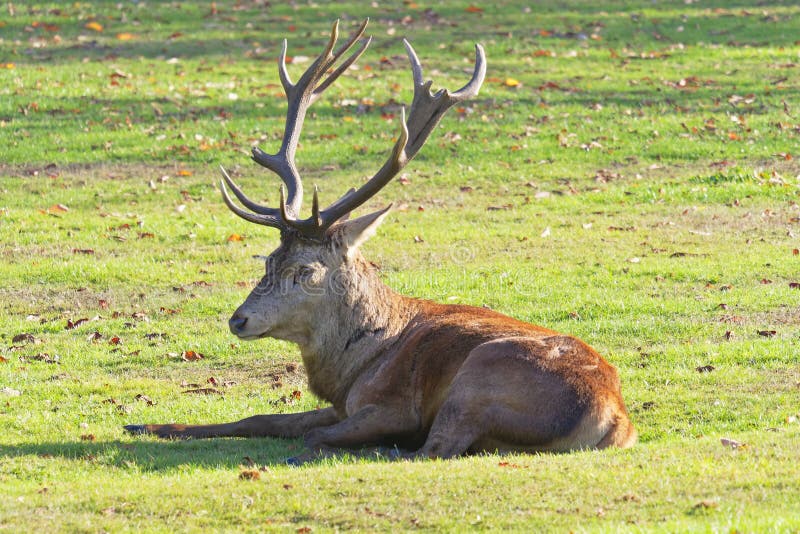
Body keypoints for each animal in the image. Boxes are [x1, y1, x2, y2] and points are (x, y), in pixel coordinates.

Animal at [125, 20, 636, 461]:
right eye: (268, 259)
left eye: (305, 270)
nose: (239, 320)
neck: (354, 367)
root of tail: (614, 419)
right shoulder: (339, 403)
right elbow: (257, 418)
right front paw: (143, 424)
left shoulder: (393, 404)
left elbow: (315, 432)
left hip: (478, 379)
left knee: (433, 448)